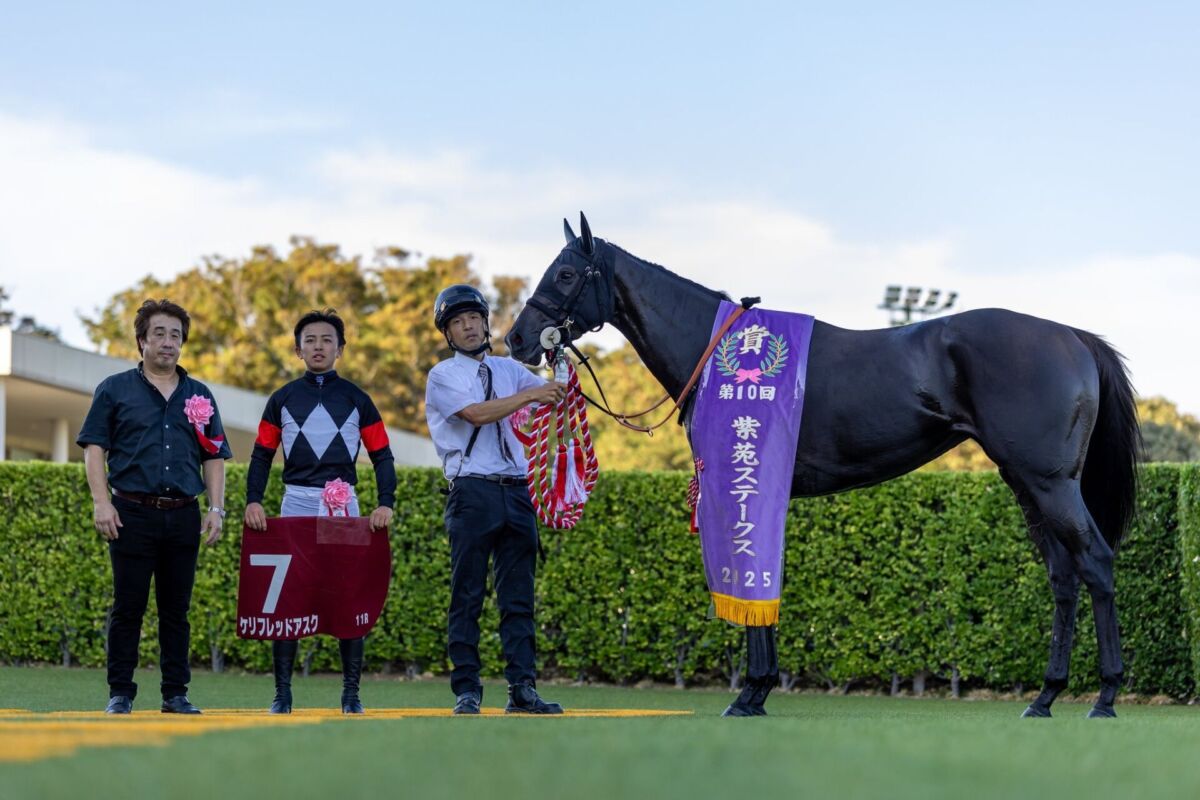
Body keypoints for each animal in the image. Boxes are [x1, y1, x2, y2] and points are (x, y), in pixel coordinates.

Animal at [505, 213, 1141, 719]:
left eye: (566, 274)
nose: (517, 339)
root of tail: (1072, 336)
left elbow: (752, 578)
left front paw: (749, 694)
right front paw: (758, 691)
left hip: (1050, 484)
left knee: (1096, 563)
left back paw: (1106, 697)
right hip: (1027, 485)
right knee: (1063, 576)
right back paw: (1045, 697)